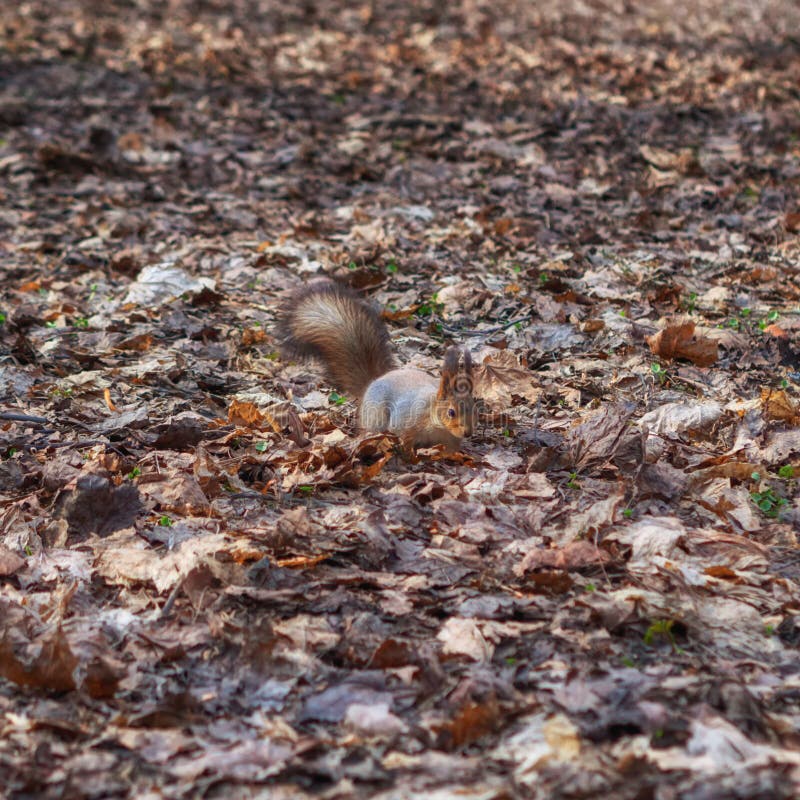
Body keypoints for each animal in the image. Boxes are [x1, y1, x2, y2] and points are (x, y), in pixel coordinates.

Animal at [277, 279, 475, 451]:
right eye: (451, 412)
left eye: (474, 407)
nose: (468, 433)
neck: (436, 423)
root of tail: (372, 383)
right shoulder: (405, 422)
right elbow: (405, 442)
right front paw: (411, 457)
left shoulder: (450, 441)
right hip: (375, 416)